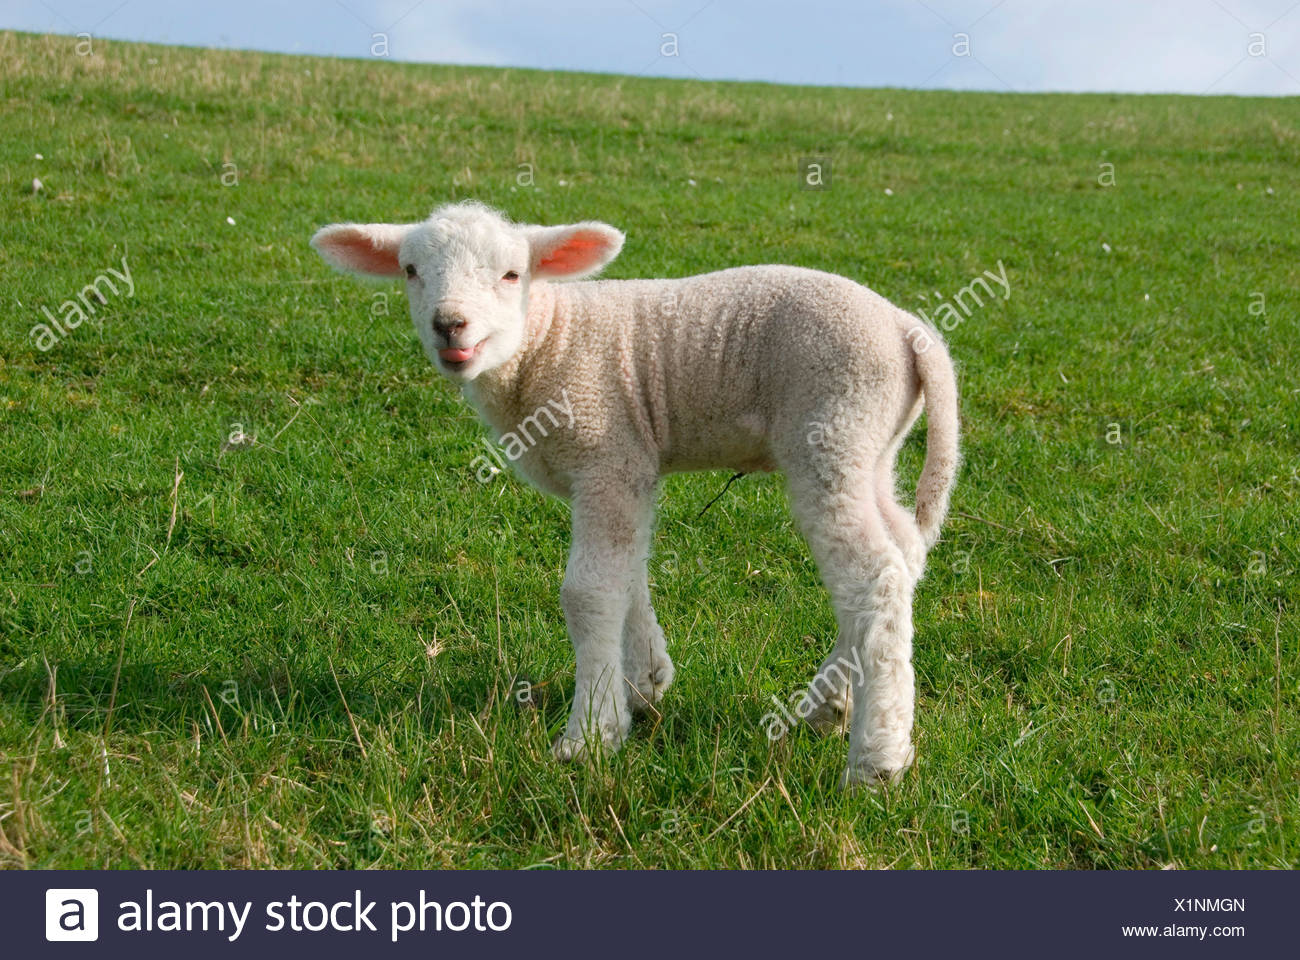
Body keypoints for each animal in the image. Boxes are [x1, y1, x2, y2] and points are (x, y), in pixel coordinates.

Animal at [311, 201, 959, 787]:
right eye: (411, 270)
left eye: (512, 274)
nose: (450, 325)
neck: (547, 341)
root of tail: (908, 331)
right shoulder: (629, 467)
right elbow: (627, 574)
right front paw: (644, 684)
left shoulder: (606, 455)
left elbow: (589, 593)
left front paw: (591, 734)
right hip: (872, 447)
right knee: (902, 555)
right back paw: (830, 702)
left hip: (834, 425)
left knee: (873, 577)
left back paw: (877, 758)